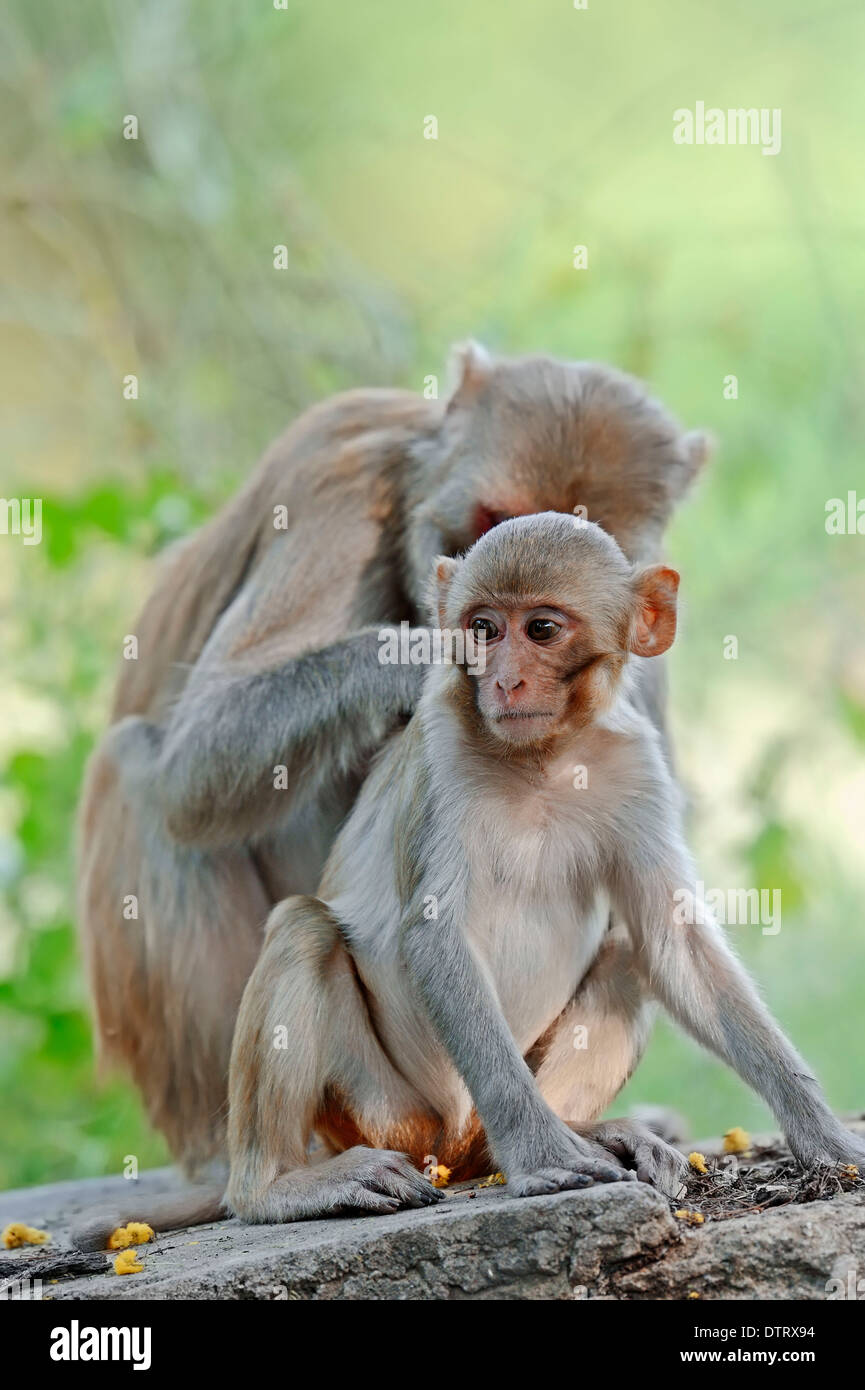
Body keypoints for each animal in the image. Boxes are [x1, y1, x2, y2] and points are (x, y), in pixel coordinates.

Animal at [72, 513, 865, 1246]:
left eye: (541, 629)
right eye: (483, 629)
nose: (505, 679)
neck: (545, 758)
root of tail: (448, 1145)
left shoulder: (636, 766)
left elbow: (675, 945)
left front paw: (823, 1134)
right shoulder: (442, 752)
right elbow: (434, 933)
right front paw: (543, 1154)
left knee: (623, 955)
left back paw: (583, 1132)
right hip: (380, 1109)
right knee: (303, 929)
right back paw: (276, 1187)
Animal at [77, 342, 713, 1174]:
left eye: (586, 548)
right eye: (494, 524)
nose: (507, 655)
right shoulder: (335, 489)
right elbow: (195, 764)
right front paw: (421, 664)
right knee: (139, 769)